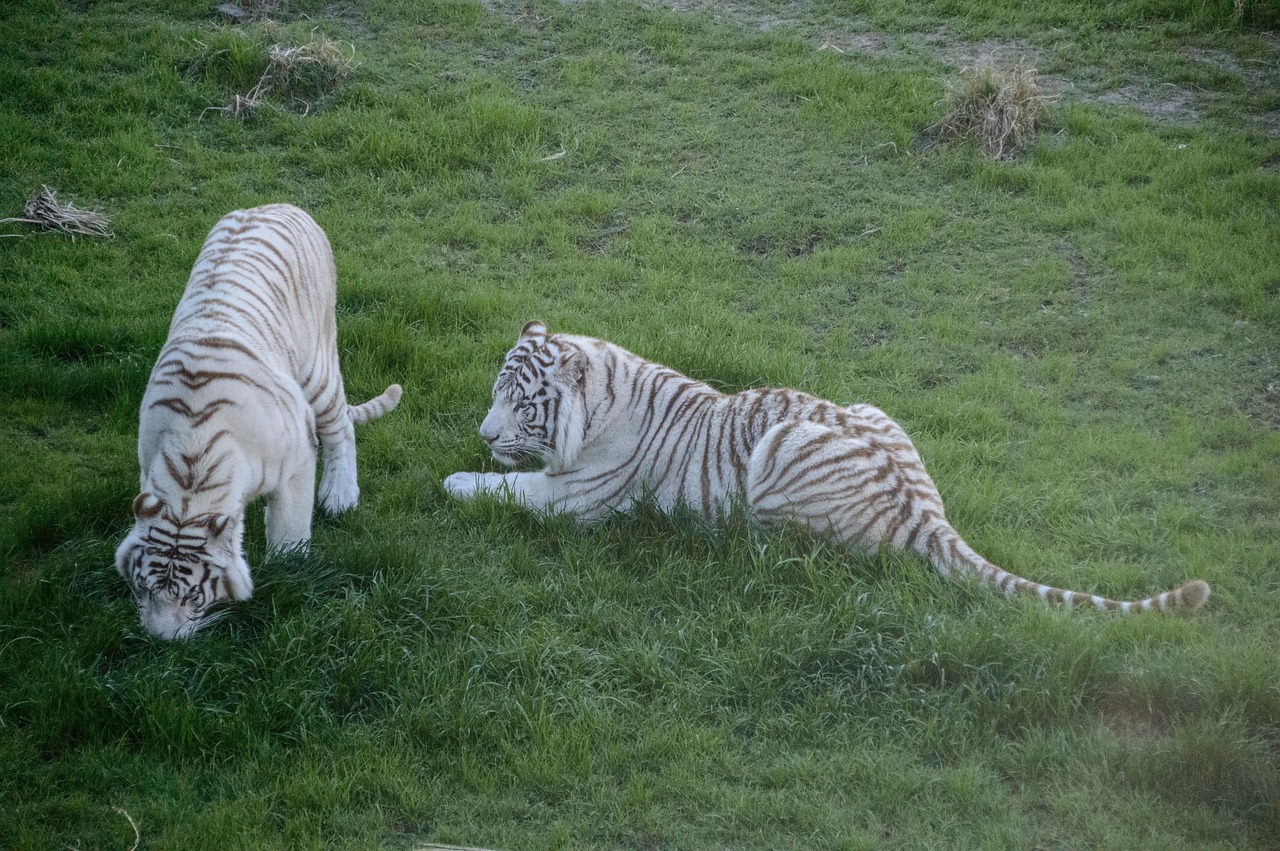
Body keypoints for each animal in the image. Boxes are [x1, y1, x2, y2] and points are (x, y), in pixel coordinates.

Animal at [115, 204, 402, 639]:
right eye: (143, 588)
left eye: (192, 595)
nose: (161, 640)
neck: (191, 473)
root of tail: (277, 205)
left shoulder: (297, 458)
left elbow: (289, 525)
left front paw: (290, 568)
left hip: (317, 370)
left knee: (341, 427)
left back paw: (340, 495)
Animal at [444, 321, 1210, 614]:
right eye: (494, 392)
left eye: (522, 403)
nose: (484, 431)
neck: (601, 395)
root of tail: (926, 510)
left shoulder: (573, 497)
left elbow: (501, 488)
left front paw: (454, 480)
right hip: (871, 406)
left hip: (778, 454)